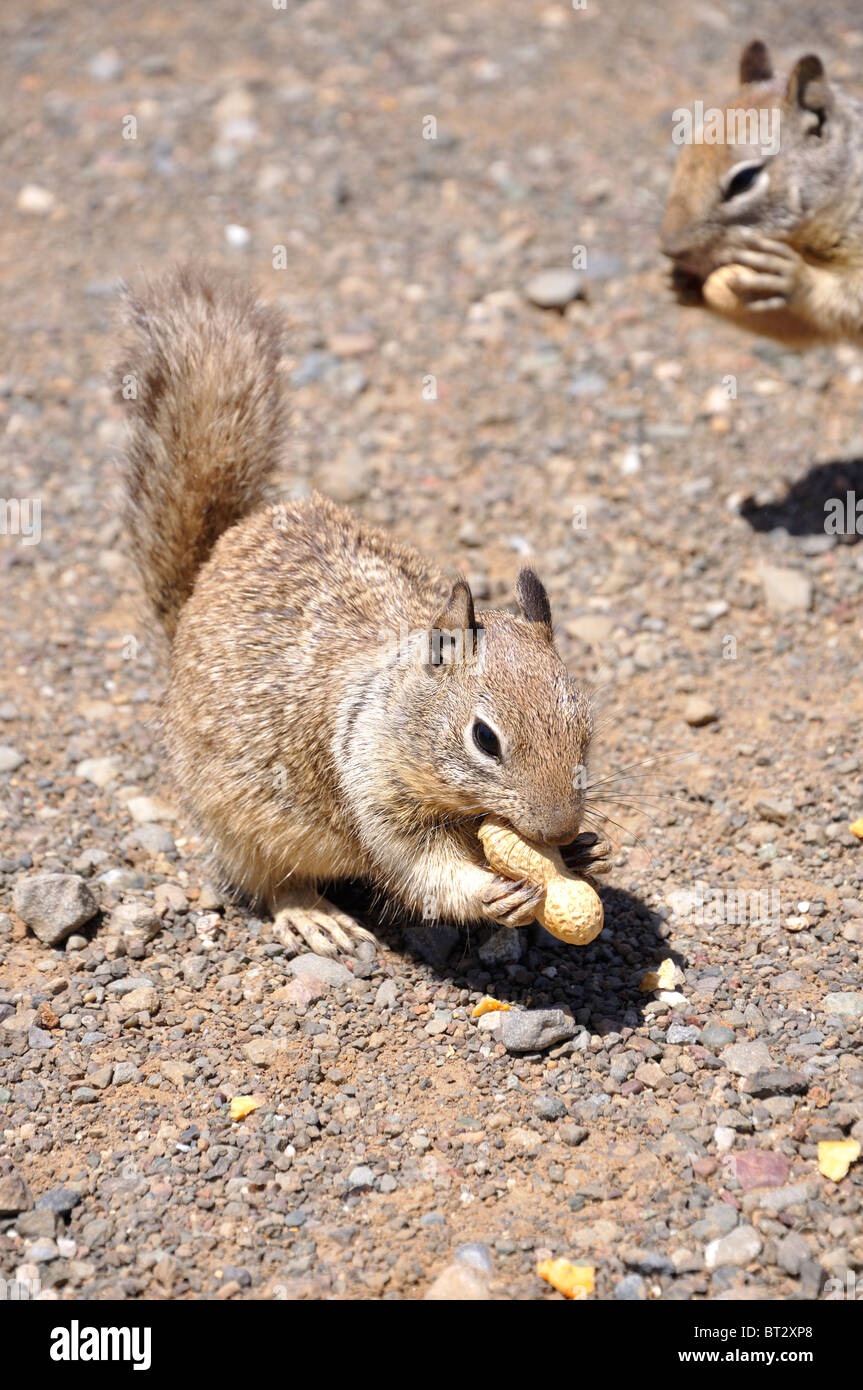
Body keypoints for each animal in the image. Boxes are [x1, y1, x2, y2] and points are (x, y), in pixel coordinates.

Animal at [116, 267, 603, 957]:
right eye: (485, 739)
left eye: (585, 727)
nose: (560, 830)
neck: (393, 703)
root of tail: (202, 579)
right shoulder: (372, 788)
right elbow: (418, 867)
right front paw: (488, 892)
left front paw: (582, 855)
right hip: (236, 822)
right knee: (268, 880)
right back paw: (311, 914)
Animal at [661, 39, 863, 348]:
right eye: (685, 150)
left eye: (745, 180)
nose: (670, 249)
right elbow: (794, 326)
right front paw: (683, 281)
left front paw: (795, 278)